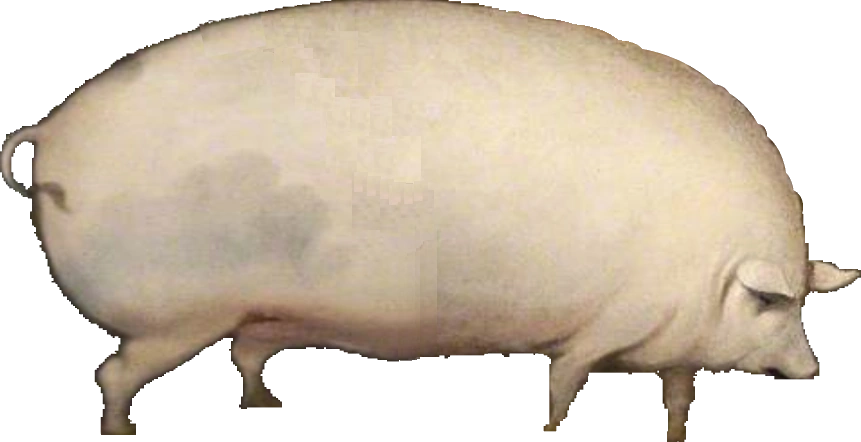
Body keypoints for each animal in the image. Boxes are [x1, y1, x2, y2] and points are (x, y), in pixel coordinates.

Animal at [0, 1, 858, 440]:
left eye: (801, 305)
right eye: (774, 303)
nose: (813, 368)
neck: (706, 275)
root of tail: (56, 128)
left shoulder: (672, 339)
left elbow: (677, 397)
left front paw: (677, 435)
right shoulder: (602, 324)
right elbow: (563, 385)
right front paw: (548, 434)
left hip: (245, 313)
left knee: (243, 354)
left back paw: (271, 410)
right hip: (180, 312)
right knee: (114, 373)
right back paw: (129, 433)